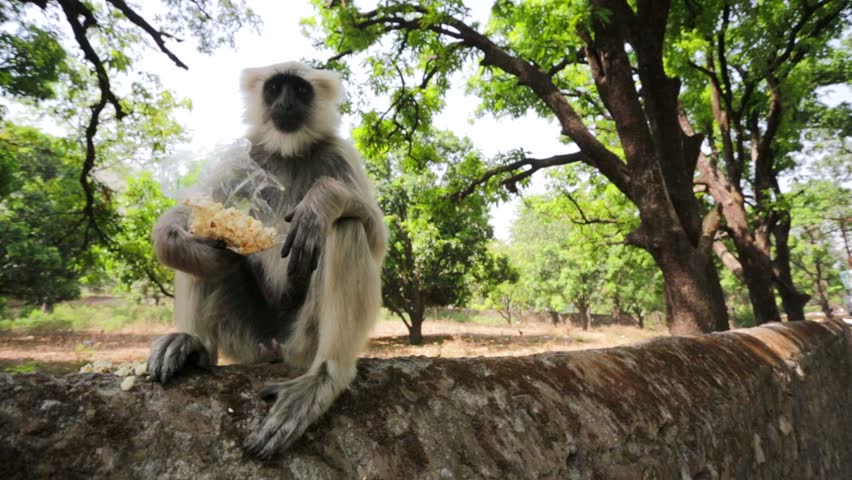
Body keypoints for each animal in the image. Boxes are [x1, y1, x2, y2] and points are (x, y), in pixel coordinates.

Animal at [147, 61, 388, 458]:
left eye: (300, 90)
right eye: (275, 88)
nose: (286, 103)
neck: (288, 153)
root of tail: (274, 347)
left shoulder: (338, 152)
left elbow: (376, 239)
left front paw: (321, 201)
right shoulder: (245, 155)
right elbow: (201, 208)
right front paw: (175, 242)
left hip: (302, 341)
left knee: (345, 228)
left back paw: (324, 378)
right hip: (245, 337)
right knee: (205, 248)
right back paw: (195, 343)